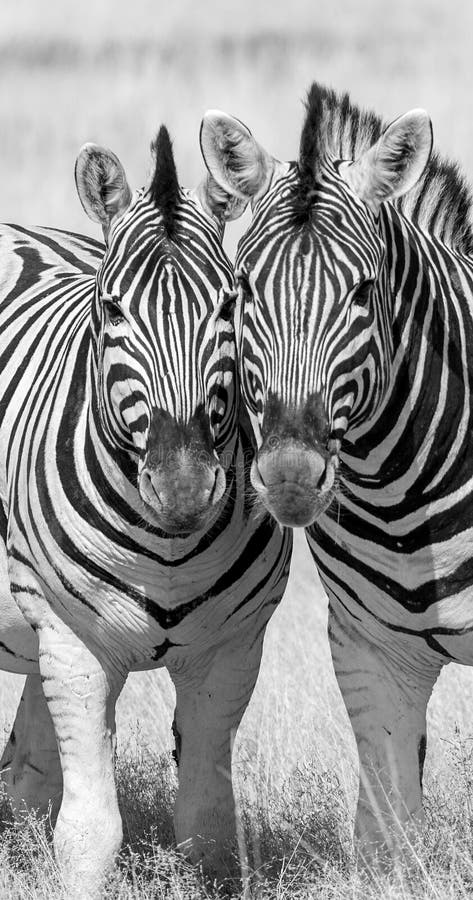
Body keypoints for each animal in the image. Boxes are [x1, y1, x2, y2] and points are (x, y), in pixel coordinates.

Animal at [0, 126, 292, 895]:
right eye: (110, 309)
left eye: (230, 305)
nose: (184, 490)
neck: (166, 550)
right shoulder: (73, 645)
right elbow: (89, 835)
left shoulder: (231, 651)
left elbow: (208, 829)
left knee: (30, 771)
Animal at [199, 83, 473, 862]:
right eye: (242, 291)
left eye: (362, 291)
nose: (292, 476)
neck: (403, 492)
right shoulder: (369, 649)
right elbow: (386, 837)